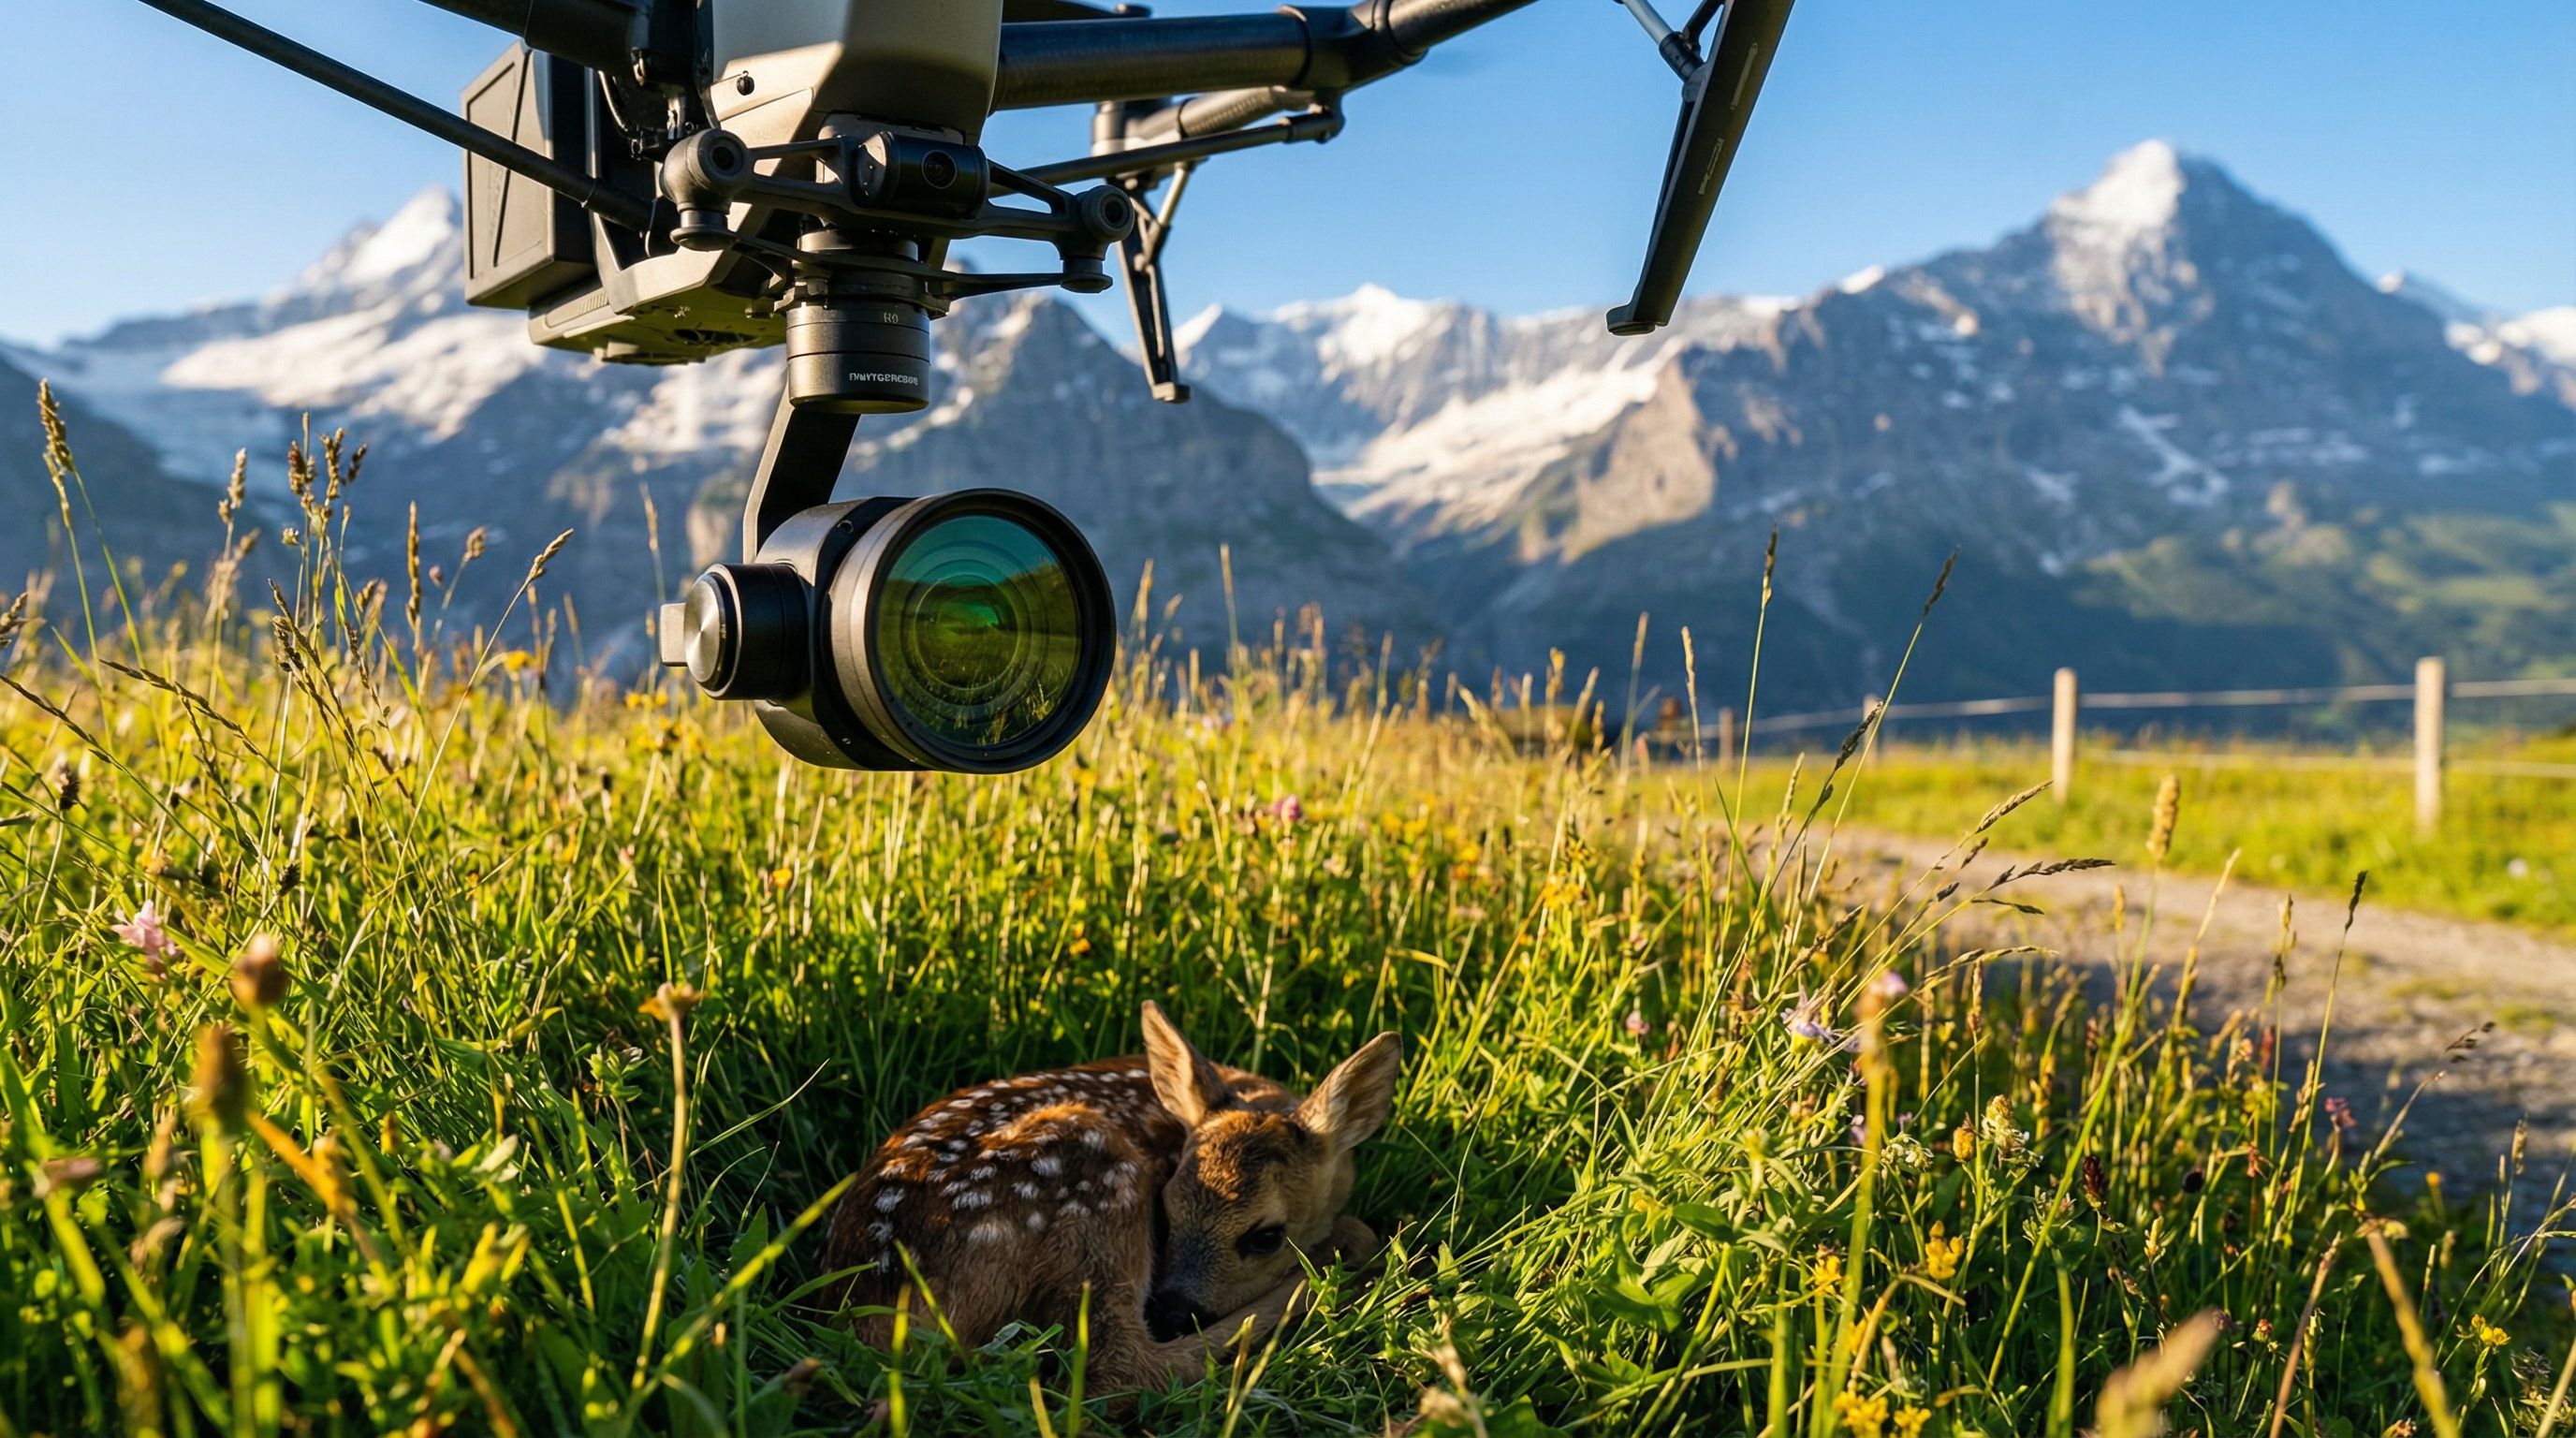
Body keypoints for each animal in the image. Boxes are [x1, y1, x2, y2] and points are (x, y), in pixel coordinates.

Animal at [822, 1002, 1401, 1391]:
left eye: (1266, 1237)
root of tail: (873, 1325)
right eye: (1164, 1214)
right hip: (1097, 1179)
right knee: (1123, 1367)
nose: (1171, 1311)